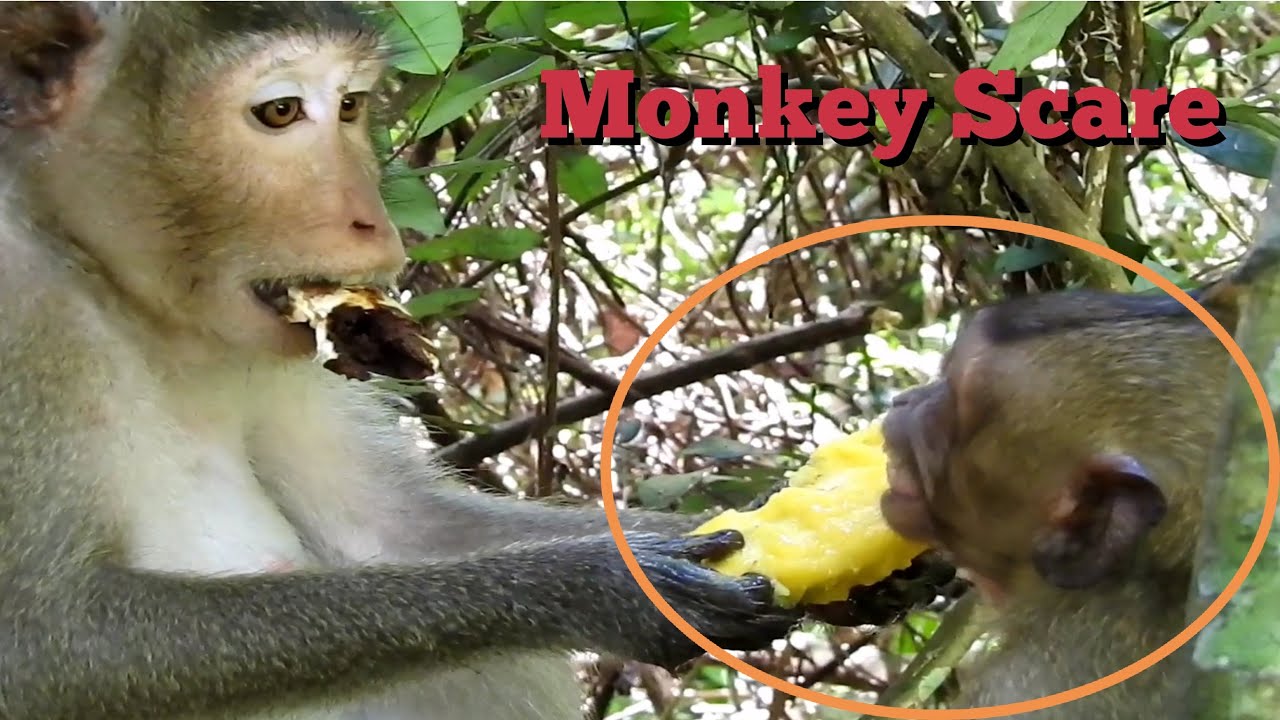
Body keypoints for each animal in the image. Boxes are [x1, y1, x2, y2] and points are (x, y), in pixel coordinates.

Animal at [0, 3, 802, 719]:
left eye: (351, 105)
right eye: (280, 111)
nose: (375, 223)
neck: (109, 279)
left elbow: (390, 527)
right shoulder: (18, 317)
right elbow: (49, 653)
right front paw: (599, 584)